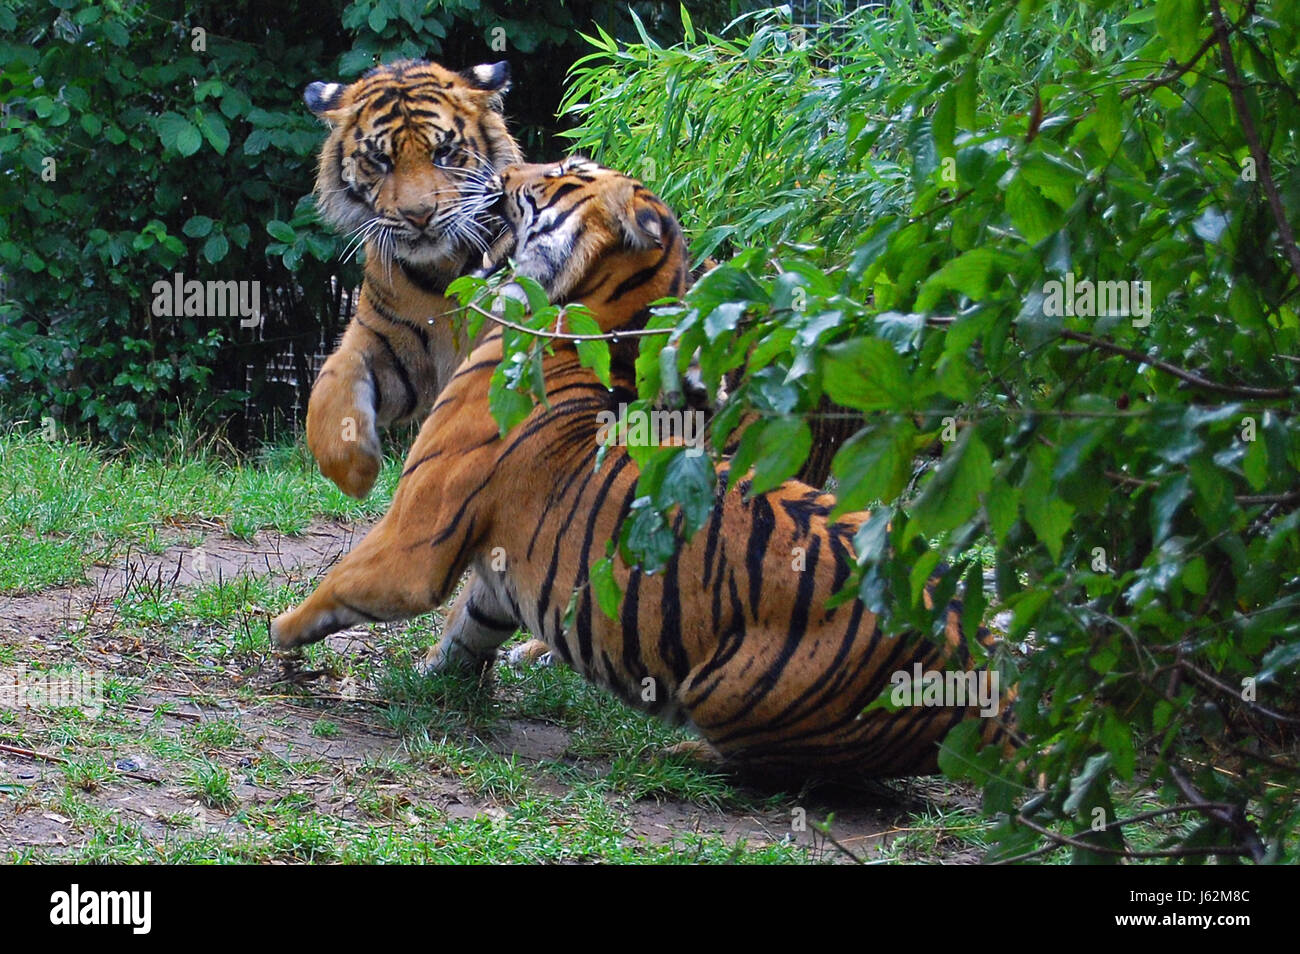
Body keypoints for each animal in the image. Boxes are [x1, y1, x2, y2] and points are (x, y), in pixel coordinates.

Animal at [271, 157, 1009, 777]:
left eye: (563, 173)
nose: (501, 169)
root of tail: (973, 666)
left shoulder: (418, 537)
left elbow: (348, 583)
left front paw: (281, 635)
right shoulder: (501, 567)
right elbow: (468, 626)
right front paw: (431, 678)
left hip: (728, 689)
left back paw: (679, 753)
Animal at [302, 57, 521, 500]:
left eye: (444, 152)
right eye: (380, 159)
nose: (419, 215)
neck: (441, 271)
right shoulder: (393, 345)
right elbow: (330, 378)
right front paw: (351, 467)